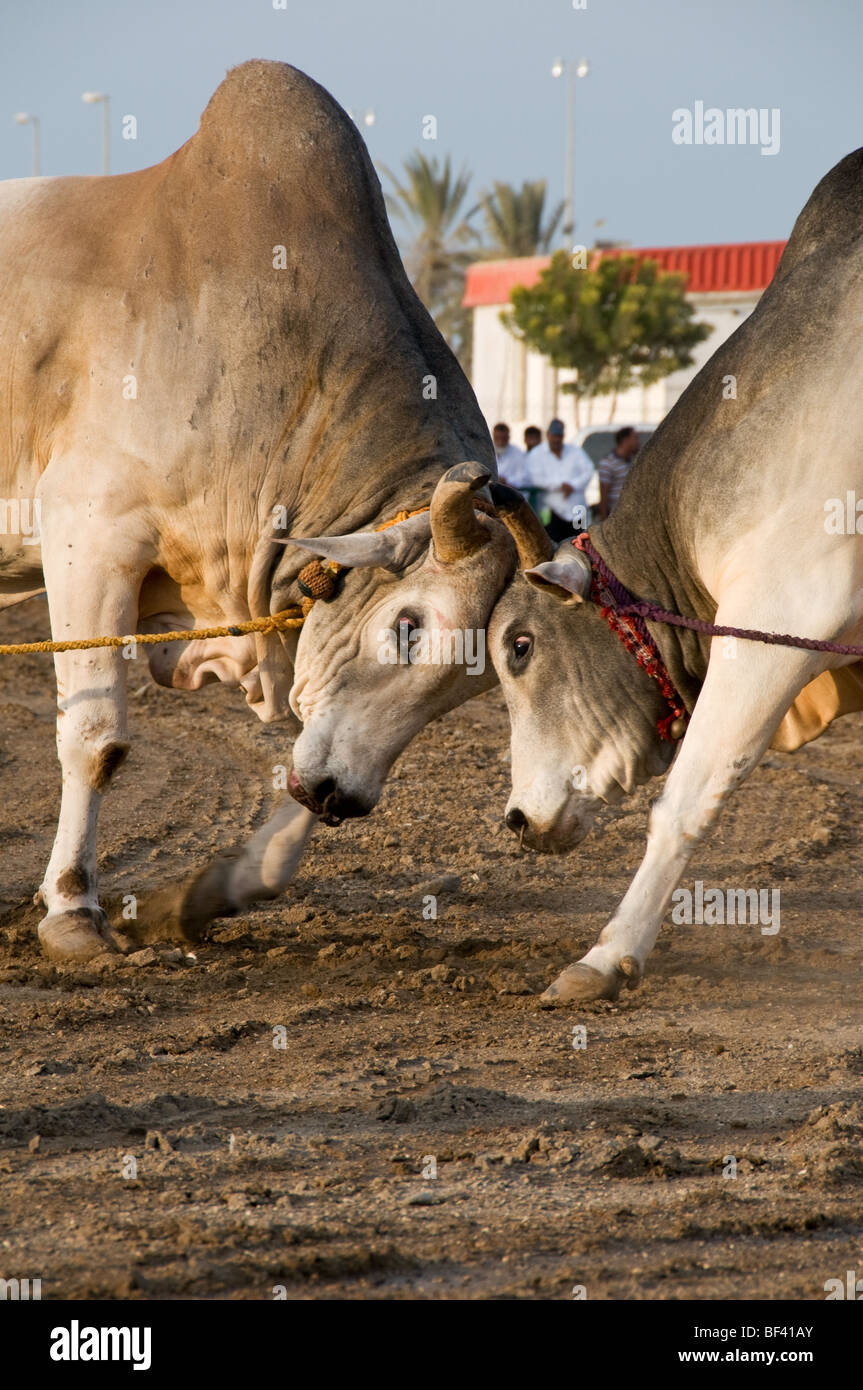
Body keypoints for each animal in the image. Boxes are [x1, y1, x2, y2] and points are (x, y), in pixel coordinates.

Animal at [0, 59, 521, 963]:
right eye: (409, 625)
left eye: (478, 679)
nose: (345, 800)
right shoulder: (88, 537)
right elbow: (96, 739)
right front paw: (71, 910)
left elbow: (305, 750)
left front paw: (211, 892)